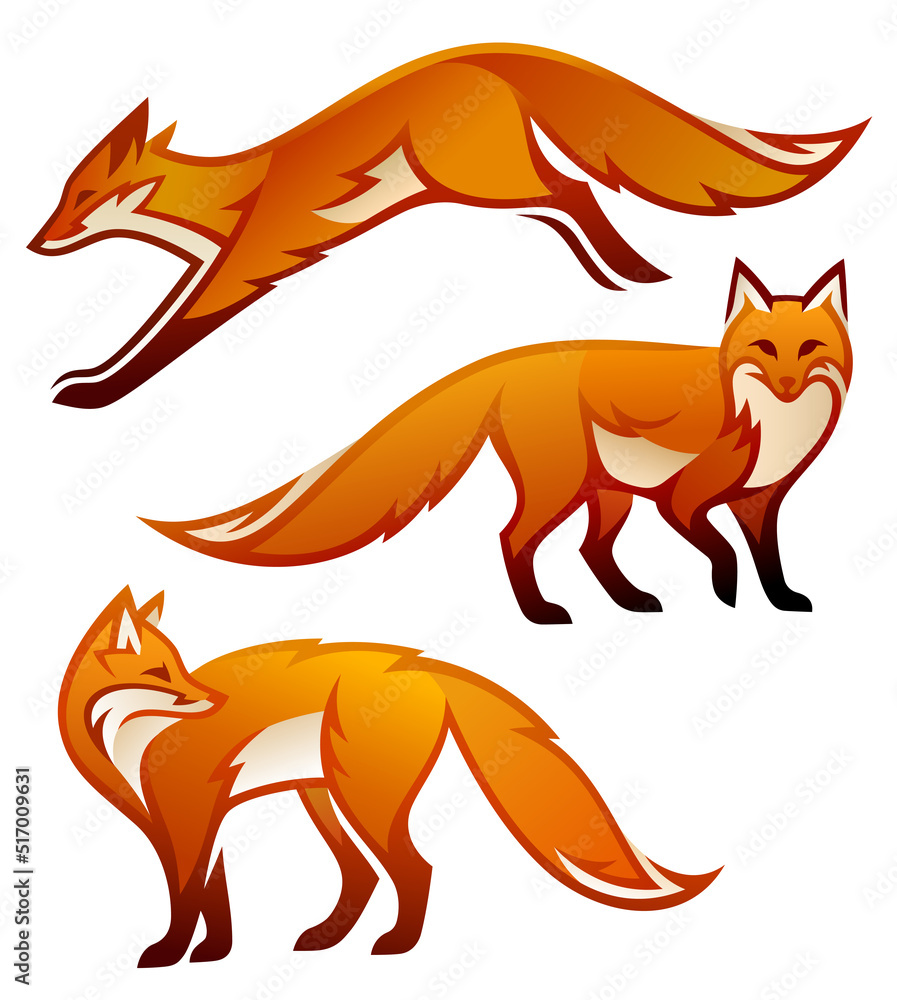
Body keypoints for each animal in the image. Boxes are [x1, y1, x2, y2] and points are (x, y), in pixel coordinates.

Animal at [29, 43, 865, 408]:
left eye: (81, 196)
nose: (34, 244)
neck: (229, 193)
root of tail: (481, 55)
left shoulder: (245, 267)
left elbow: (160, 345)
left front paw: (97, 393)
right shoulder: (209, 268)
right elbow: (151, 331)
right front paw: (92, 380)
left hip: (480, 180)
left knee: (573, 190)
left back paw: (627, 268)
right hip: (479, 191)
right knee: (562, 202)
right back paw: (617, 269)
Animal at [60, 588, 720, 966]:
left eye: (179, 668)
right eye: (162, 671)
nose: (215, 698)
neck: (126, 740)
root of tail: (421, 664)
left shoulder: (188, 815)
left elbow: (186, 895)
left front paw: (168, 955)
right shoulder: (196, 817)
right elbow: (211, 897)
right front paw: (210, 957)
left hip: (356, 797)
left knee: (411, 870)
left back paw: (396, 945)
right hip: (323, 795)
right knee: (363, 876)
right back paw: (327, 939)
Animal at [145, 259, 851, 624]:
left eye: (809, 350)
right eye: (765, 351)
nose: (789, 383)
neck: (773, 423)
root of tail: (516, 356)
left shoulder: (760, 500)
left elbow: (767, 557)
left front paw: (783, 602)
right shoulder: (683, 499)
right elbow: (723, 550)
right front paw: (726, 594)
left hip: (607, 492)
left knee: (591, 550)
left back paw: (630, 601)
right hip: (564, 487)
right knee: (512, 538)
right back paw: (541, 613)